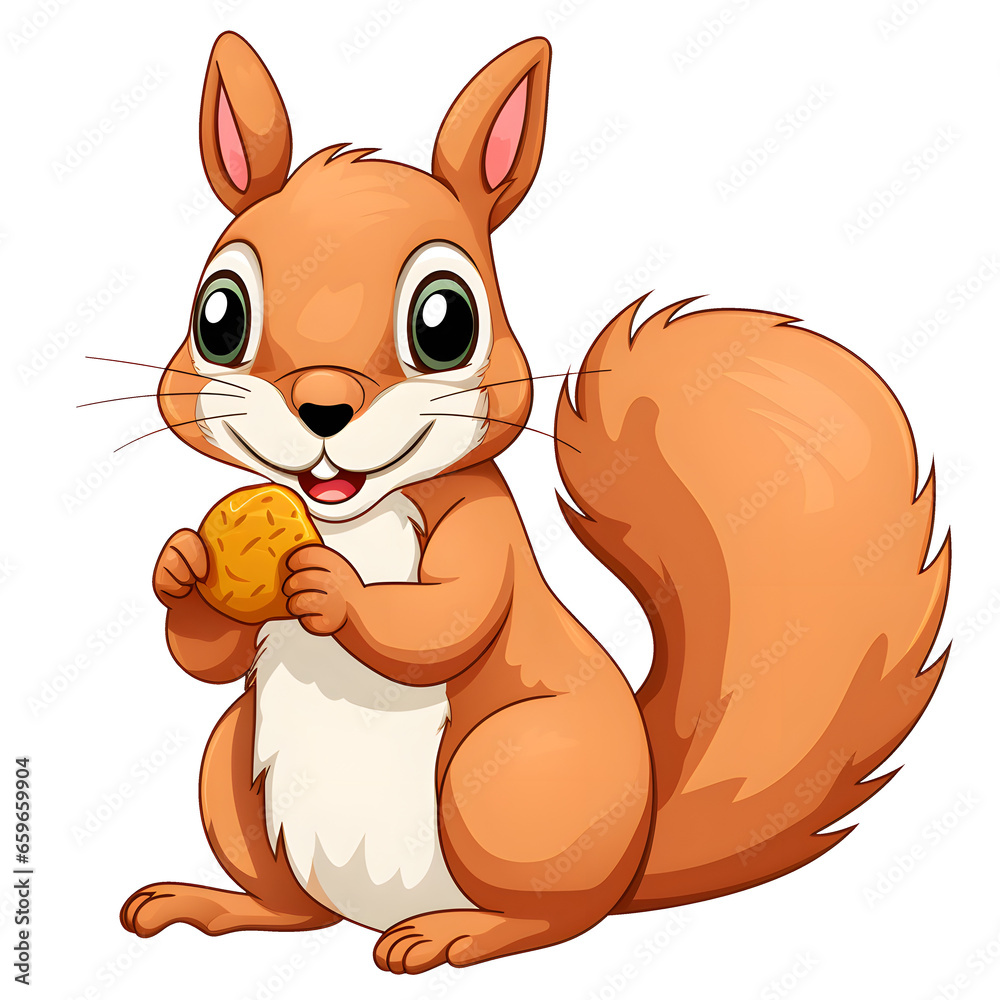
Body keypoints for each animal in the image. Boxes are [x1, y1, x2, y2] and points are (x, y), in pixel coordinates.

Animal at [118, 32, 950, 974]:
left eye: (446, 323)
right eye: (219, 315)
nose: (322, 408)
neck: (347, 512)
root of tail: (637, 856)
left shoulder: (486, 525)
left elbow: (451, 619)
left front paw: (332, 589)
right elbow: (209, 658)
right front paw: (183, 565)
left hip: (516, 775)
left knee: (556, 919)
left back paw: (453, 934)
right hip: (235, 769)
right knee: (296, 909)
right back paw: (213, 905)